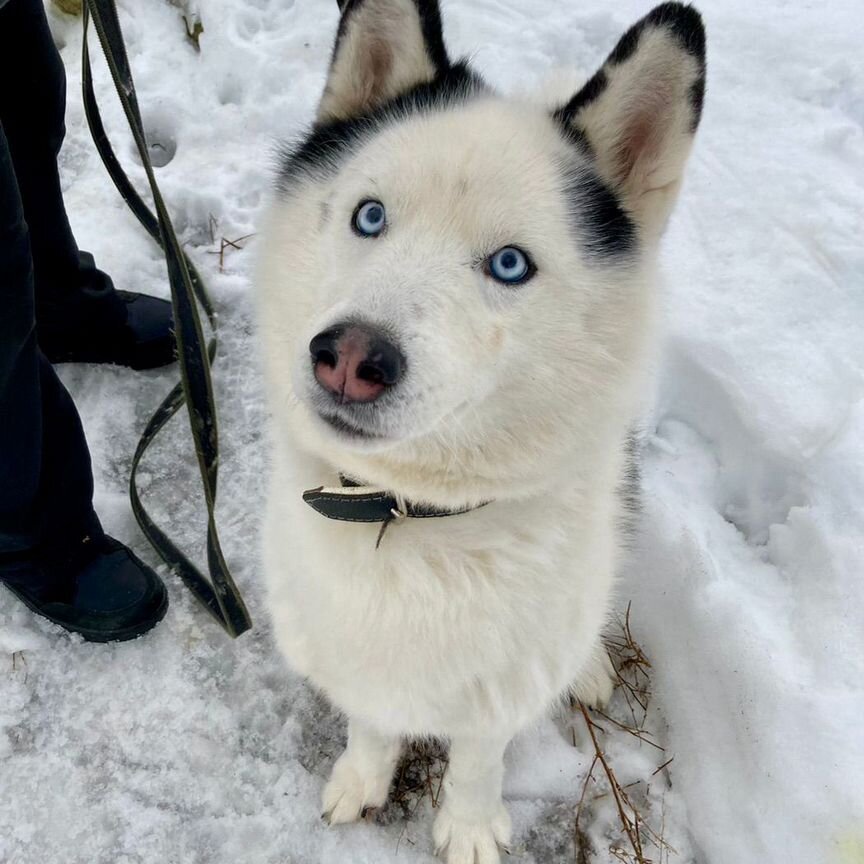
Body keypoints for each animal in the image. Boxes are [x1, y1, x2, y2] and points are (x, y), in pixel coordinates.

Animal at [260, 3, 704, 860]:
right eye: (370, 215)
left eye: (508, 265)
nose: (349, 359)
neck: (412, 516)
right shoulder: (354, 651)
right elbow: (373, 721)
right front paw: (362, 777)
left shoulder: (503, 680)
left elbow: (479, 756)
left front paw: (467, 825)